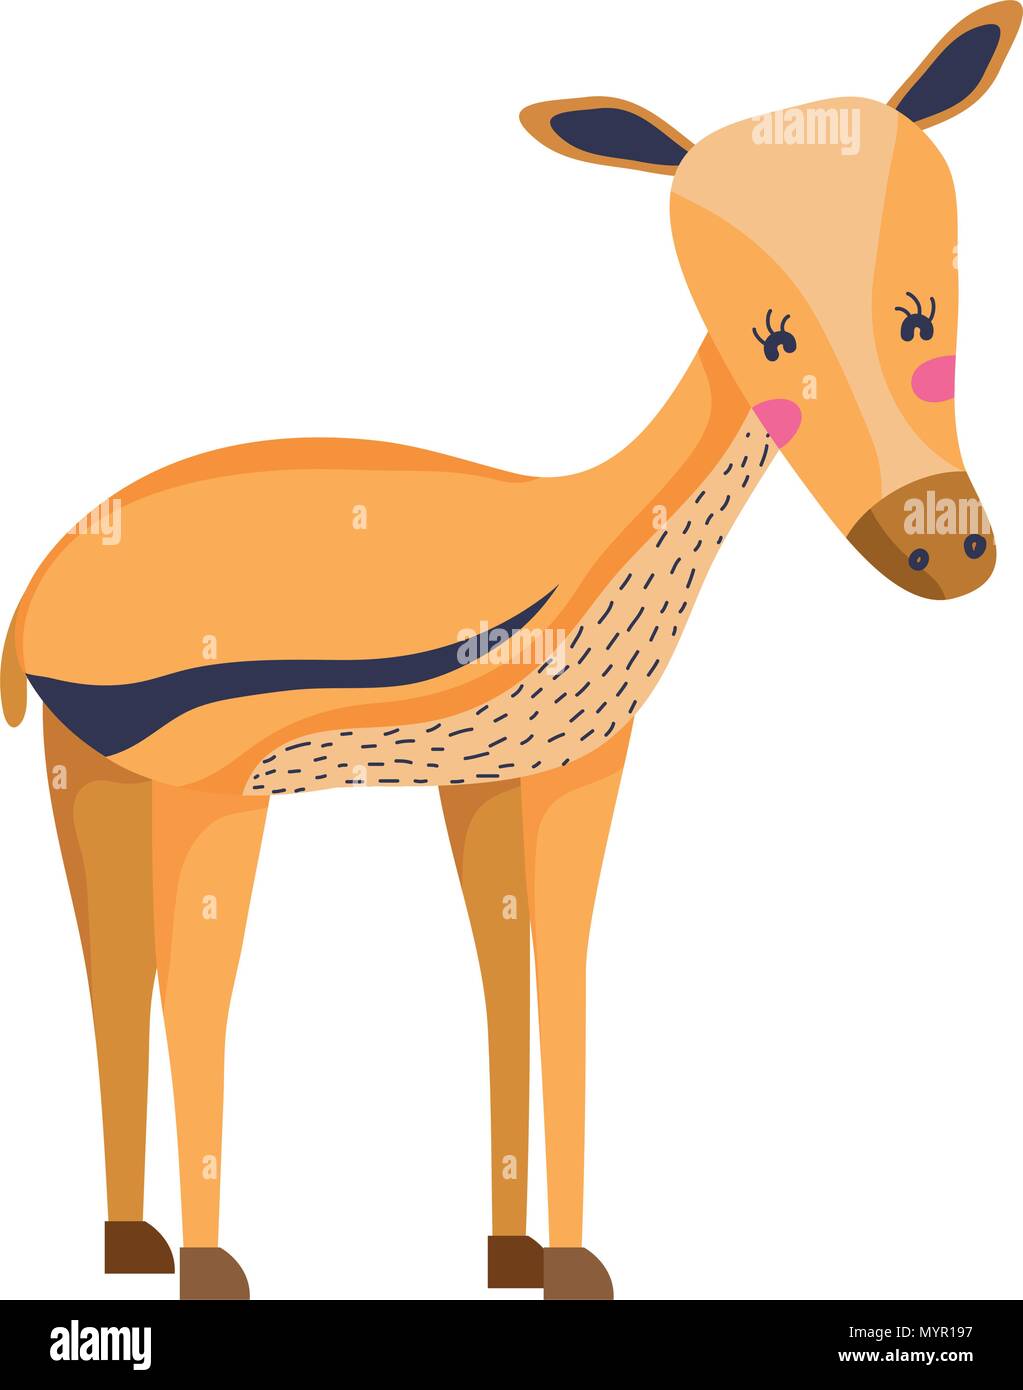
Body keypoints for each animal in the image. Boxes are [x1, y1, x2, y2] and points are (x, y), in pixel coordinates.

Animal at [2, 3, 1018, 1301]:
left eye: (925, 302)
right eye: (768, 329)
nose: (944, 546)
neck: (592, 546)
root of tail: (35, 594)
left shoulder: (522, 773)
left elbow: (524, 975)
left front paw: (520, 1253)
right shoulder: (534, 771)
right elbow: (545, 979)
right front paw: (574, 1261)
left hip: (92, 774)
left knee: (111, 967)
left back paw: (127, 1242)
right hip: (198, 790)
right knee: (182, 983)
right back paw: (203, 1259)